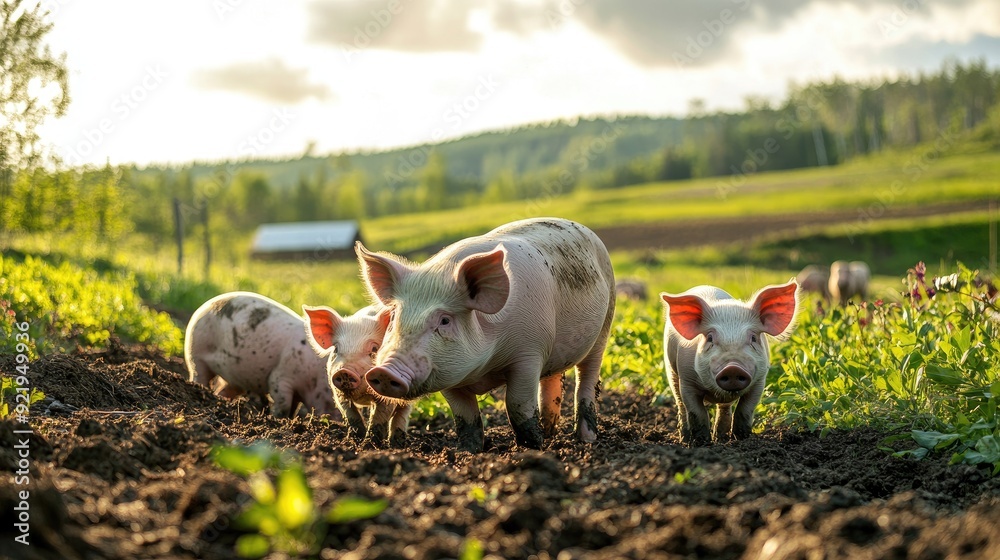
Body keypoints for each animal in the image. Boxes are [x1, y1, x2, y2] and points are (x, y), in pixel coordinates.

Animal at [185, 292, 335, 418]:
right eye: (331, 390)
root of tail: (202, 307)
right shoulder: (280, 377)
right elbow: (284, 404)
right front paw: (278, 418)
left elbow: (294, 408)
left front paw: (290, 420)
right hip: (195, 353)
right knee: (199, 376)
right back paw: (201, 390)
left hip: (234, 377)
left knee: (223, 390)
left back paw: (223, 402)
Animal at [302, 304, 413, 448]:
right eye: (336, 349)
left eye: (374, 349)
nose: (345, 371)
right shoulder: (337, 393)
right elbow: (351, 415)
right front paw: (354, 440)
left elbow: (379, 417)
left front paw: (369, 444)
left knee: (402, 414)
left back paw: (396, 444)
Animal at [357, 217, 616, 452]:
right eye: (394, 316)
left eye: (444, 320)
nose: (383, 371)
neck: (485, 367)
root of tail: (581, 227)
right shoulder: (449, 375)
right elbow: (465, 418)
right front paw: (468, 452)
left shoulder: (529, 354)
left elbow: (518, 405)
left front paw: (532, 448)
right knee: (551, 380)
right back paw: (550, 433)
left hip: (605, 324)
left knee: (587, 379)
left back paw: (586, 439)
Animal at [660, 280, 799, 445]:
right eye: (710, 338)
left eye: (753, 338)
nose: (733, 367)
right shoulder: (687, 380)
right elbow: (697, 414)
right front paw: (702, 443)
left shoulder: (759, 382)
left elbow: (745, 411)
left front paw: (742, 440)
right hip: (671, 370)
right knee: (680, 405)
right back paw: (685, 440)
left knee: (724, 408)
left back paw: (721, 439)